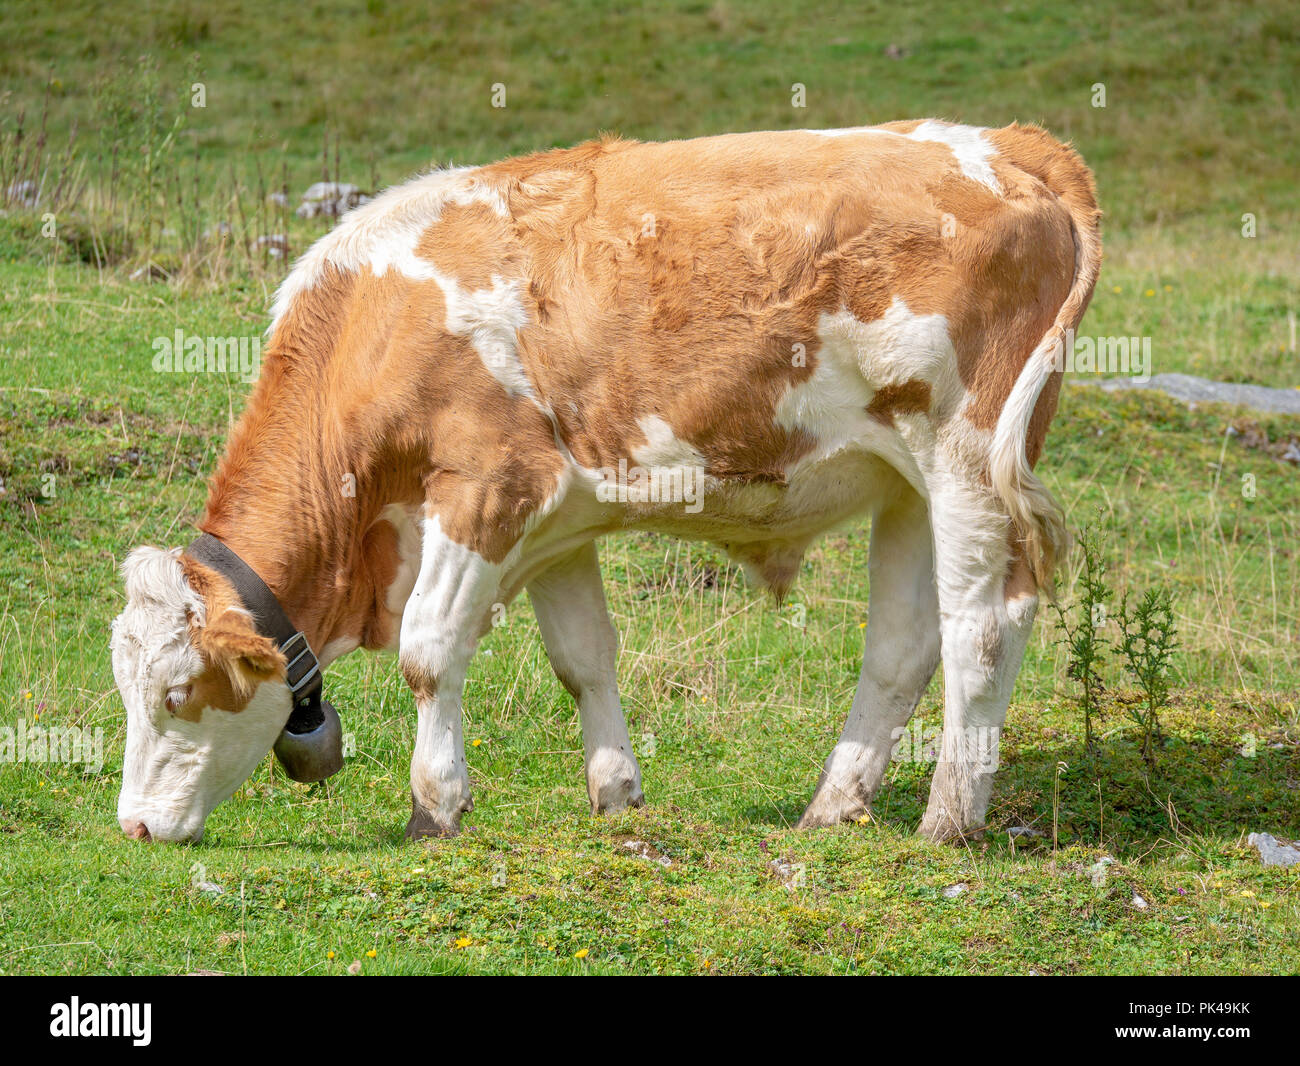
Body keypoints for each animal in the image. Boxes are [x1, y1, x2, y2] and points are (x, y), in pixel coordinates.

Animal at [110, 120, 1101, 844]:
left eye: (175, 695)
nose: (136, 829)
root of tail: (1005, 142)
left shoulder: (486, 487)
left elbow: (430, 653)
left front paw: (435, 807)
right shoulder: (554, 522)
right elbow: (582, 657)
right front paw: (615, 792)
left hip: (967, 459)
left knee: (984, 626)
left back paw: (949, 820)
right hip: (904, 484)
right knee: (902, 643)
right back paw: (833, 806)